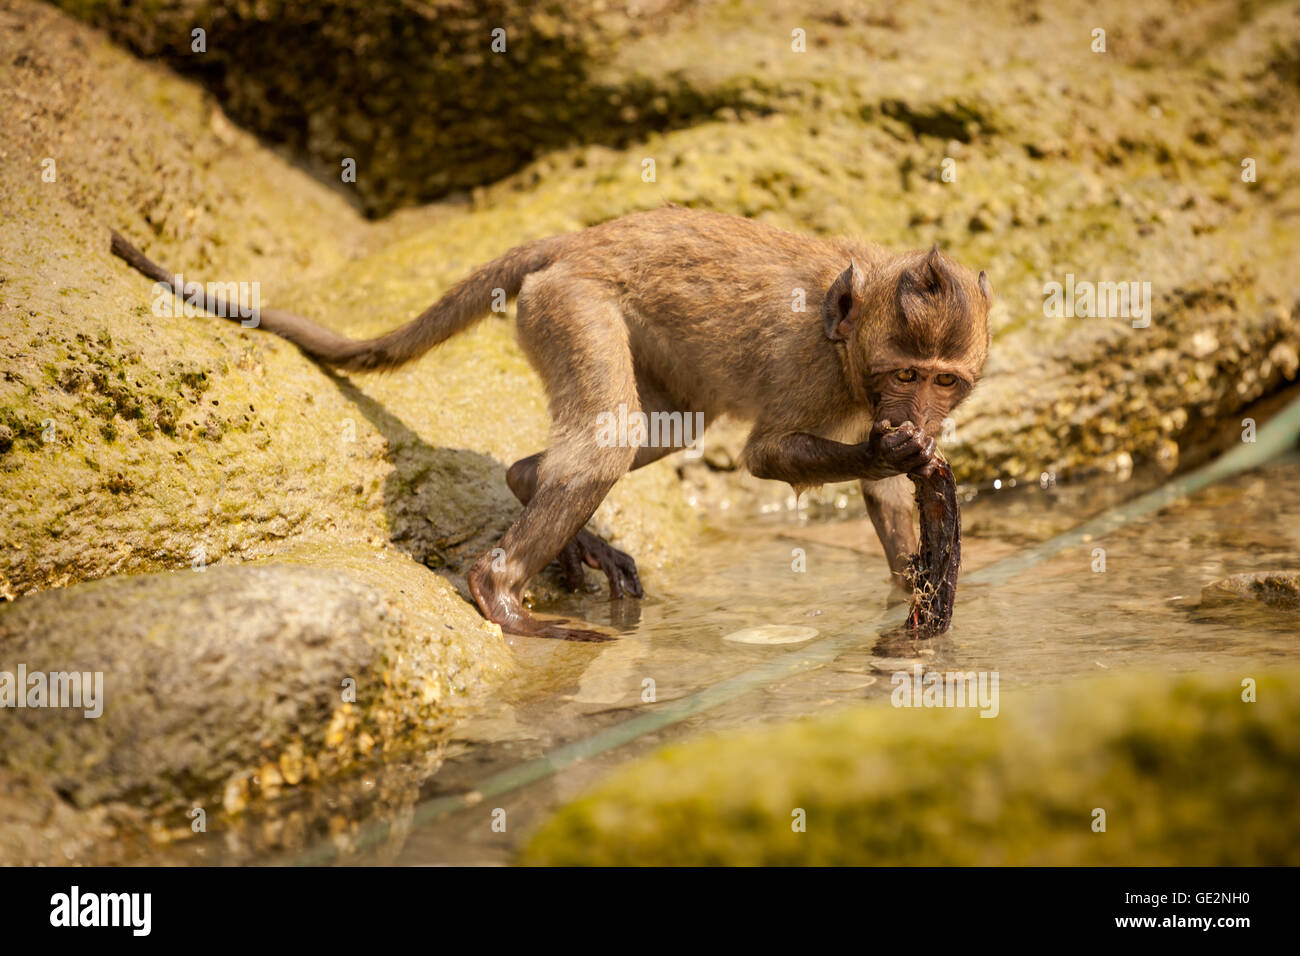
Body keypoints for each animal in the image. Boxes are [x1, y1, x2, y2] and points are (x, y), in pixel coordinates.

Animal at [110, 204, 993, 642]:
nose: (917, 412)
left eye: (944, 381)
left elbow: (883, 497)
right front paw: (902, 457)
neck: (851, 327)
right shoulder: (813, 370)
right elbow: (768, 455)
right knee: (608, 442)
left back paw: (536, 492)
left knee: (655, 432)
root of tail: (576, 238)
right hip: (571, 304)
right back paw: (499, 593)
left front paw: (913, 577)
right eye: (905, 375)